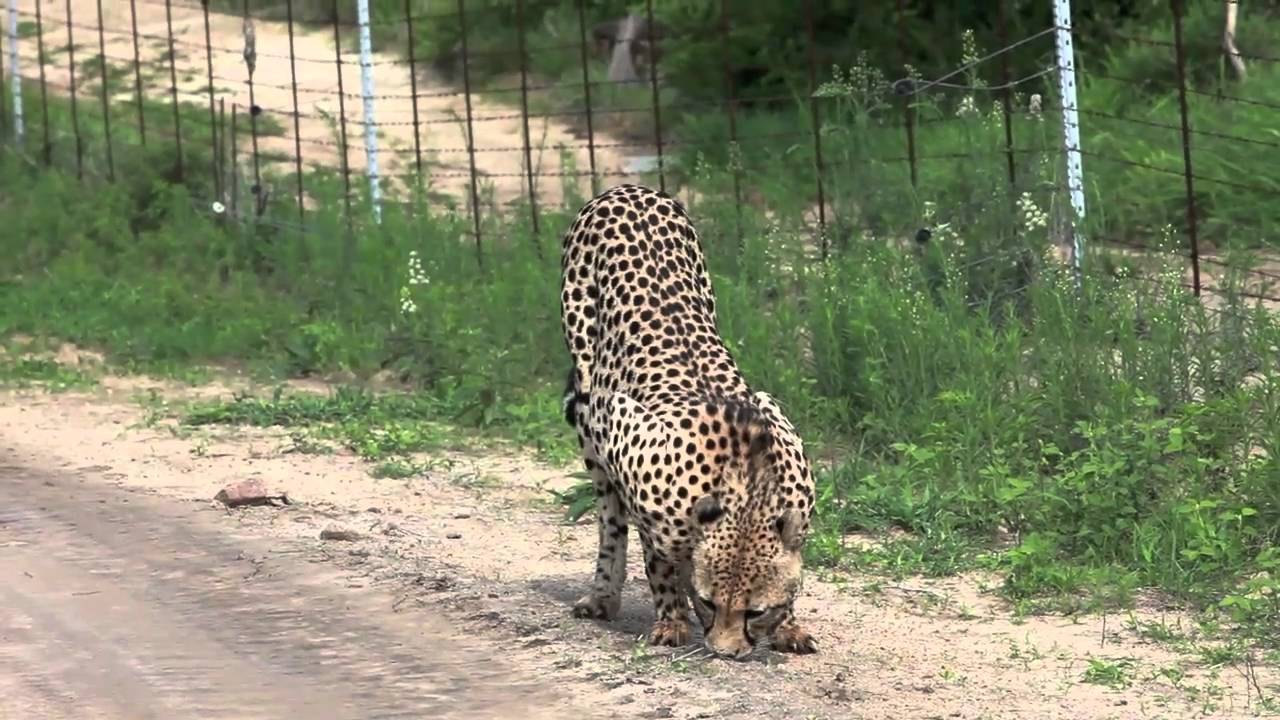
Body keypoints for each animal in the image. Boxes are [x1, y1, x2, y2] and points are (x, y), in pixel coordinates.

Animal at [559, 182, 818, 660]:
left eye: (755, 611)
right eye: (709, 602)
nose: (726, 653)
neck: (747, 487)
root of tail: (628, 189)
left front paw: (789, 626)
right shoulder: (624, 438)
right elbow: (657, 559)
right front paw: (672, 620)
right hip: (588, 401)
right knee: (609, 521)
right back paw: (603, 595)